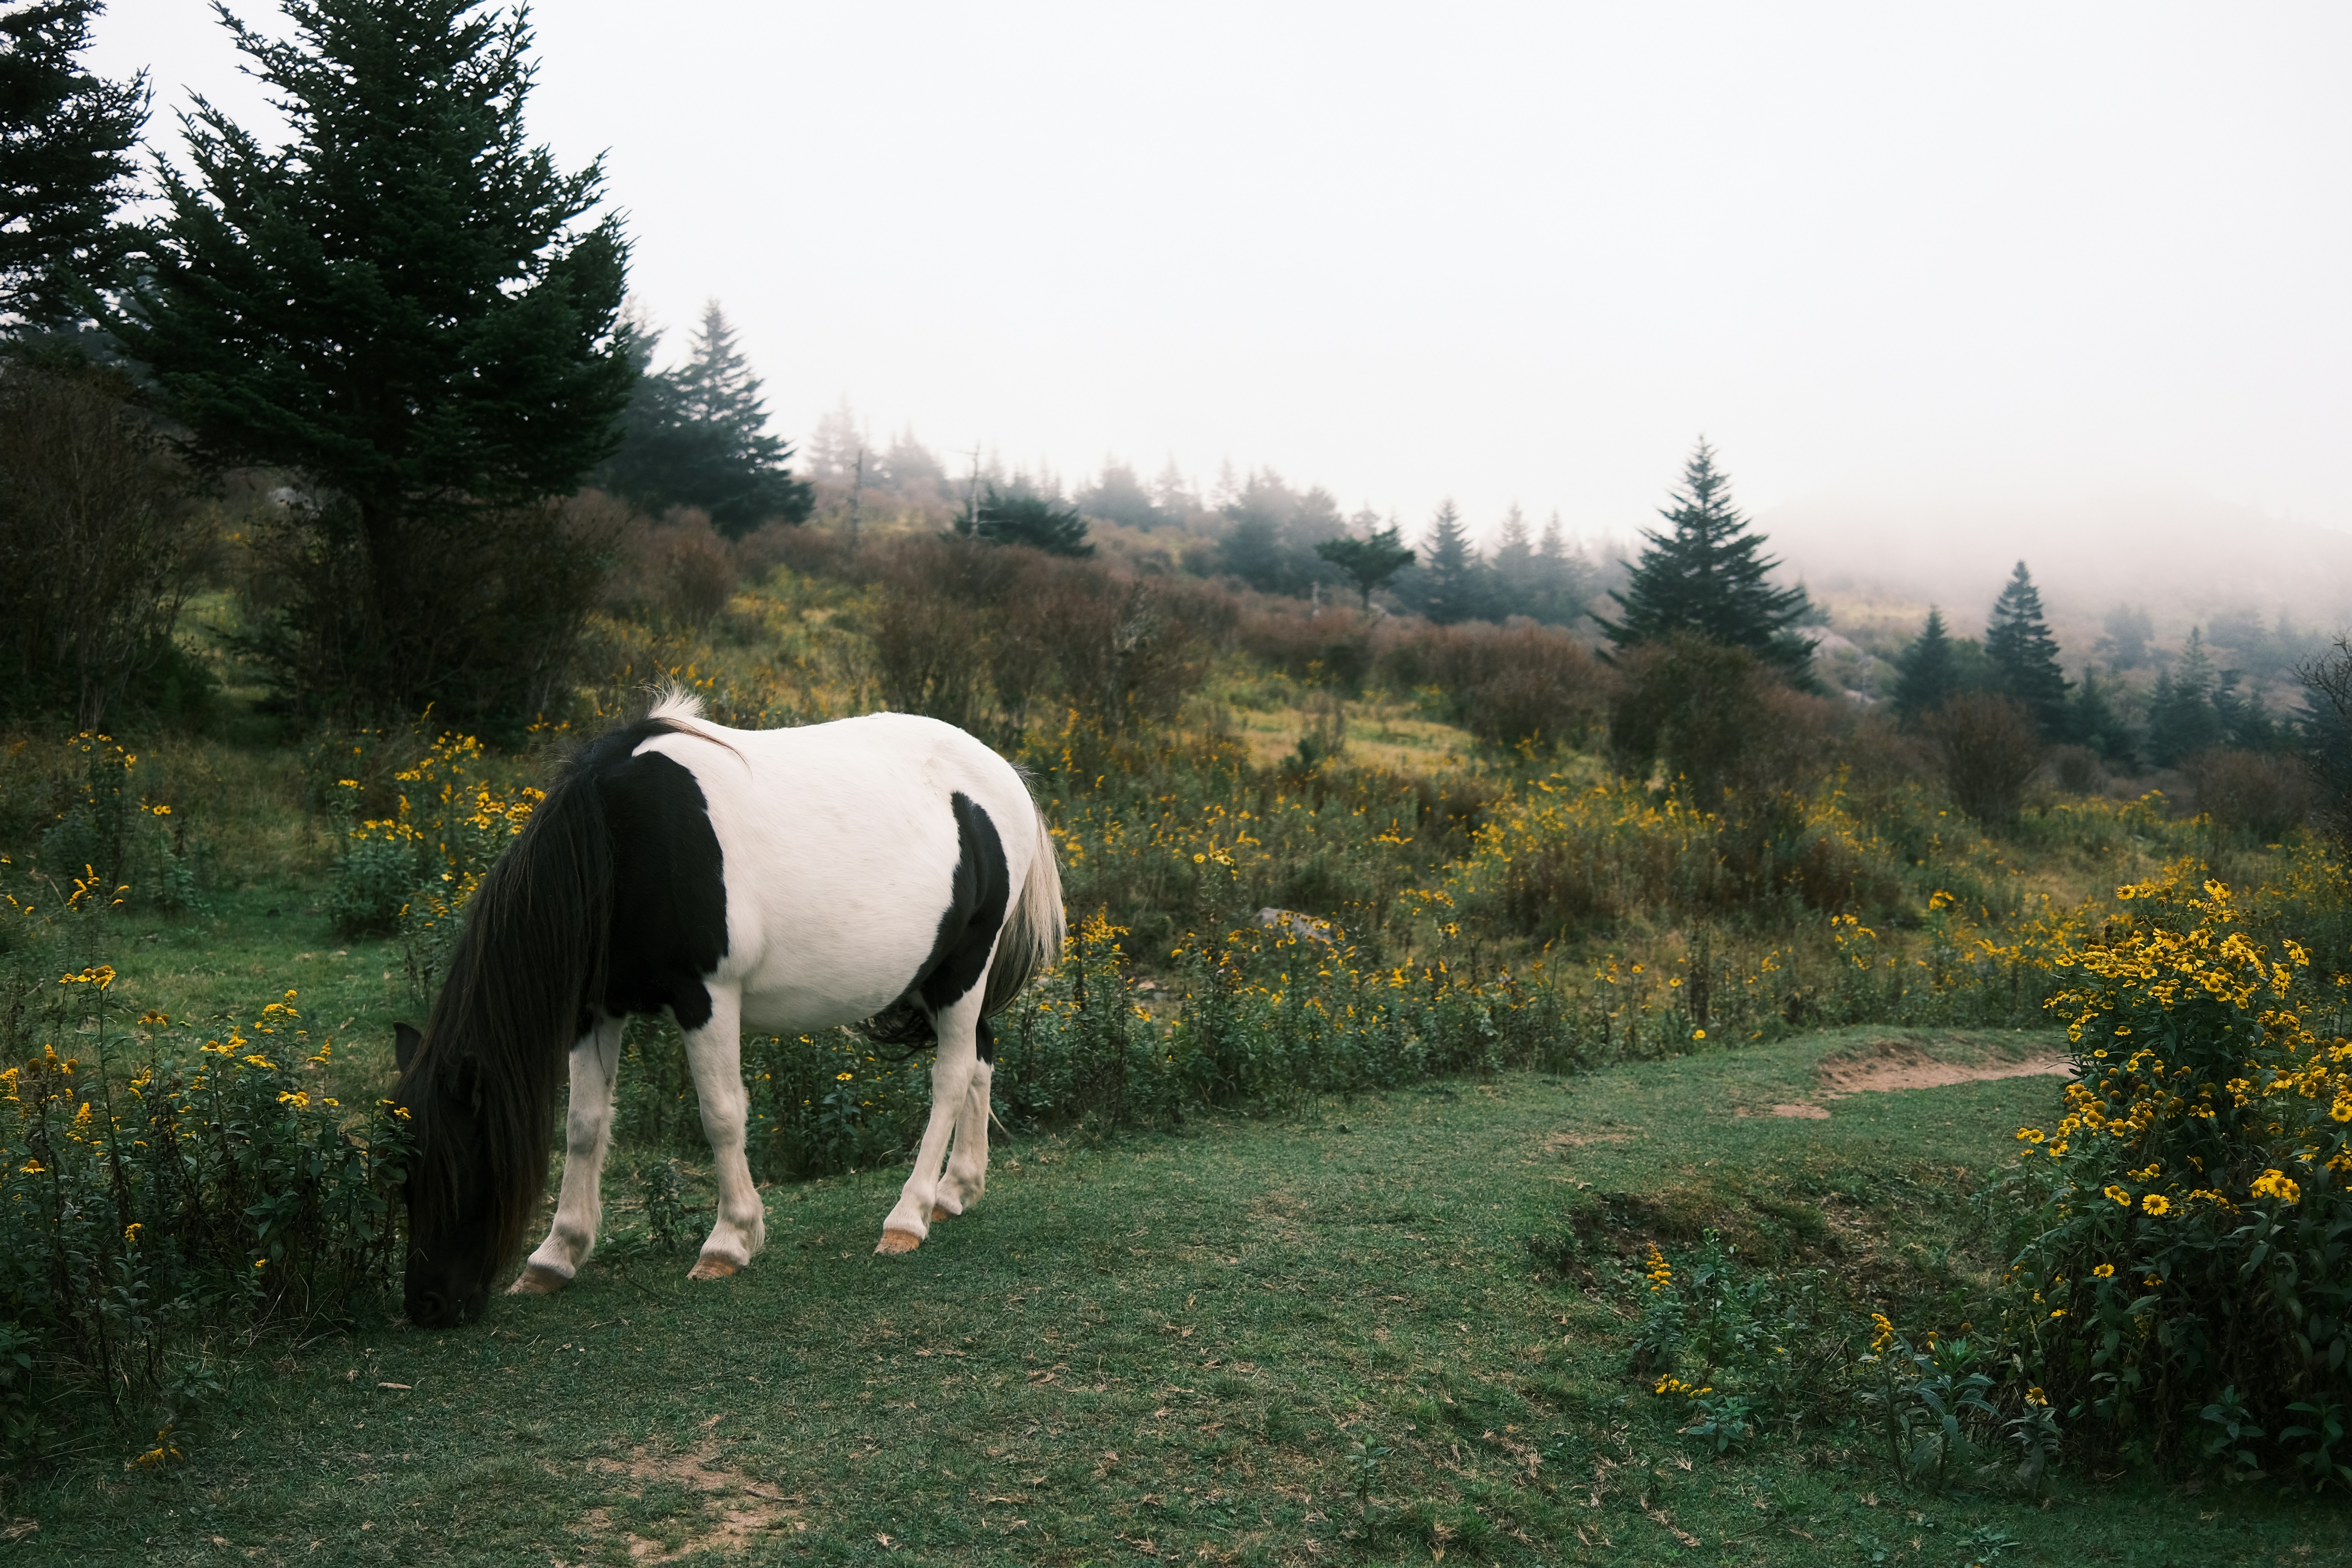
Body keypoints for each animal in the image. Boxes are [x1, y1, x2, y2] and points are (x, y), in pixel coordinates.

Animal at [387, 692, 1065, 1327]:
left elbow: (720, 1116)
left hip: (964, 967)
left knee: (951, 1077)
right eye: (402, 1176)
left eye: (459, 1169)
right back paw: (958, 1189)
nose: (427, 1306)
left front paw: (730, 1241)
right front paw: (557, 1256)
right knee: (980, 1059)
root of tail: (1001, 772)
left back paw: (910, 1214)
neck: (619, 836)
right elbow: (584, 1125)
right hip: (941, 976)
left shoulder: (706, 996)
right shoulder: (595, 1007)